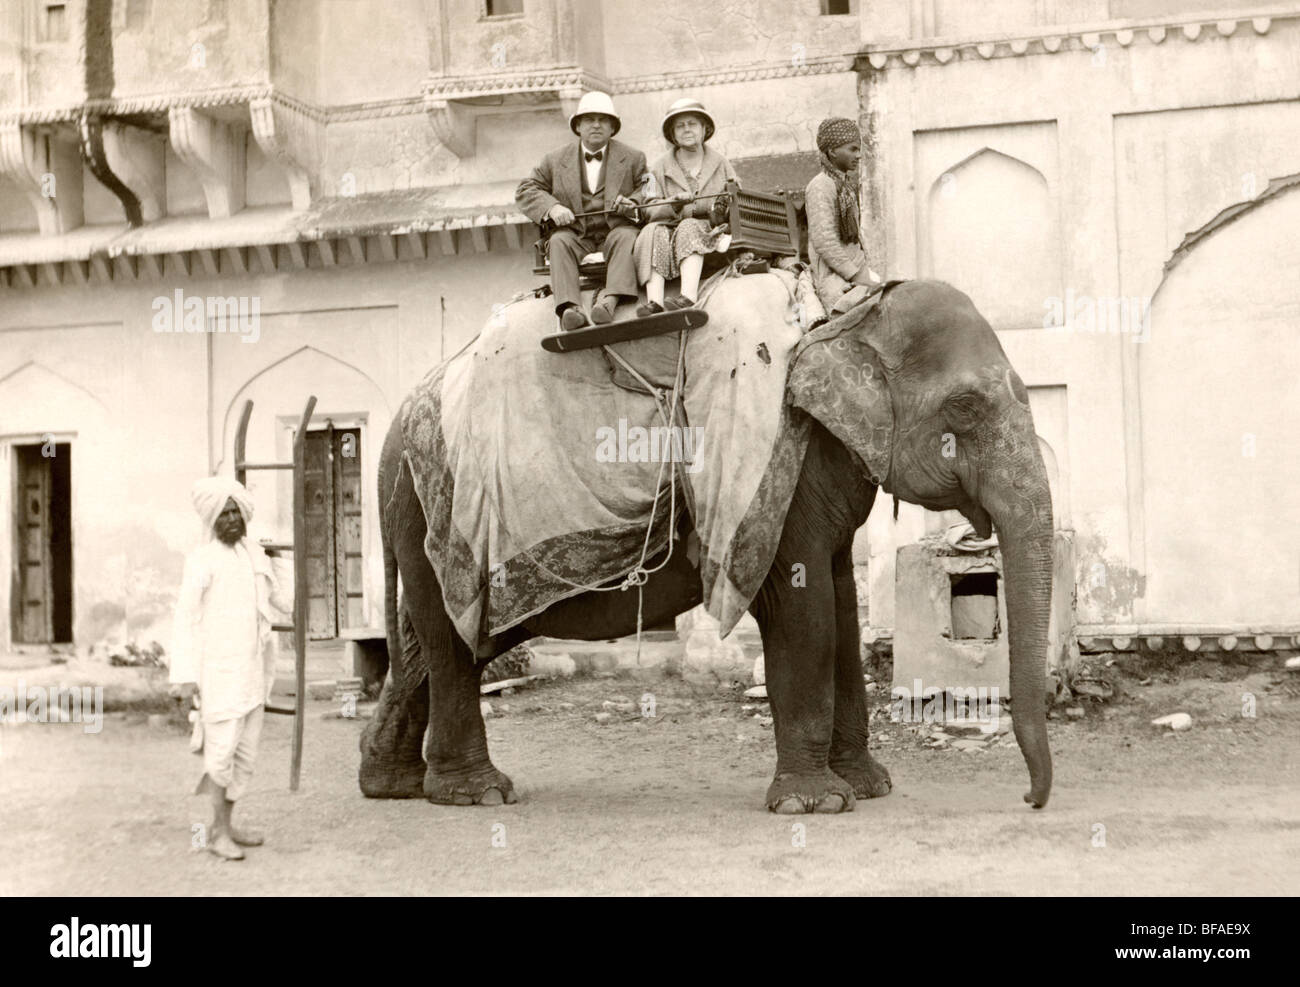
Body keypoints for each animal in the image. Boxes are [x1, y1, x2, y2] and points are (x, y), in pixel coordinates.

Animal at [359, 278, 1054, 813]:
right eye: (965, 407)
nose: (1028, 799)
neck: (845, 316)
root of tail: (393, 432)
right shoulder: (782, 461)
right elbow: (805, 613)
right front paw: (816, 804)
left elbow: (841, 606)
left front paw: (869, 787)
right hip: (433, 508)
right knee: (453, 646)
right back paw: (476, 794)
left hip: (417, 522)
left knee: (426, 644)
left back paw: (392, 786)